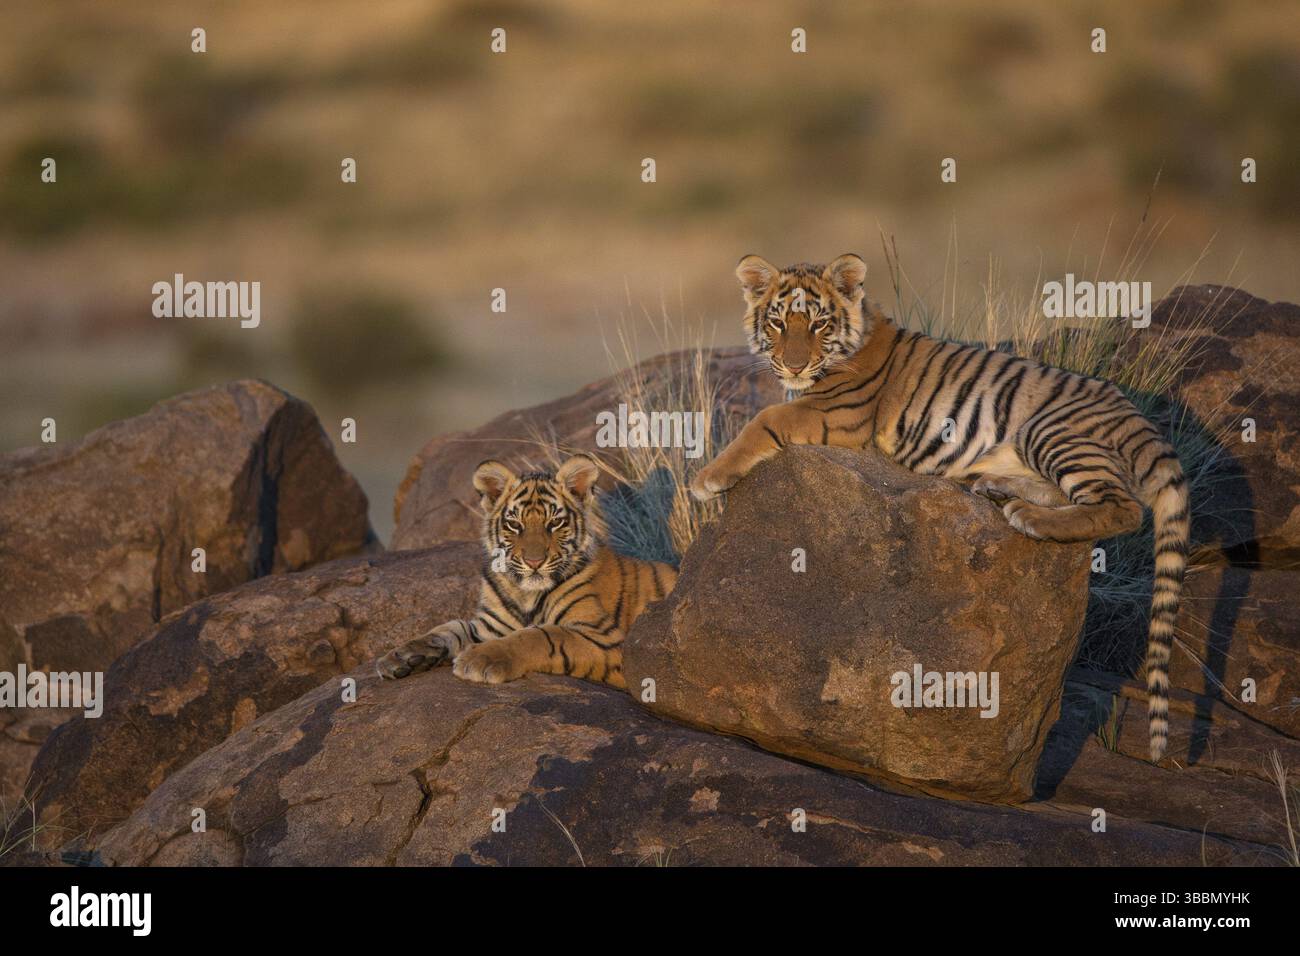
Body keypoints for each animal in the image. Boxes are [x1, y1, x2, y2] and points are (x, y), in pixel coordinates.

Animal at [377, 454, 677, 688]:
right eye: (514, 524)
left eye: (555, 523)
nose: (534, 562)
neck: (525, 594)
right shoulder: (492, 625)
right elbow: (450, 627)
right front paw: (400, 656)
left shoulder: (606, 639)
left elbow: (541, 635)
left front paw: (478, 659)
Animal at [690, 253, 1189, 762]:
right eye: (776, 322)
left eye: (818, 324)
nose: (794, 366)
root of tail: (1139, 419)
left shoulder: (836, 416)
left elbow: (764, 419)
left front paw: (706, 479)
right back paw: (996, 489)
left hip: (1051, 429)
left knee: (1123, 507)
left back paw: (1029, 518)